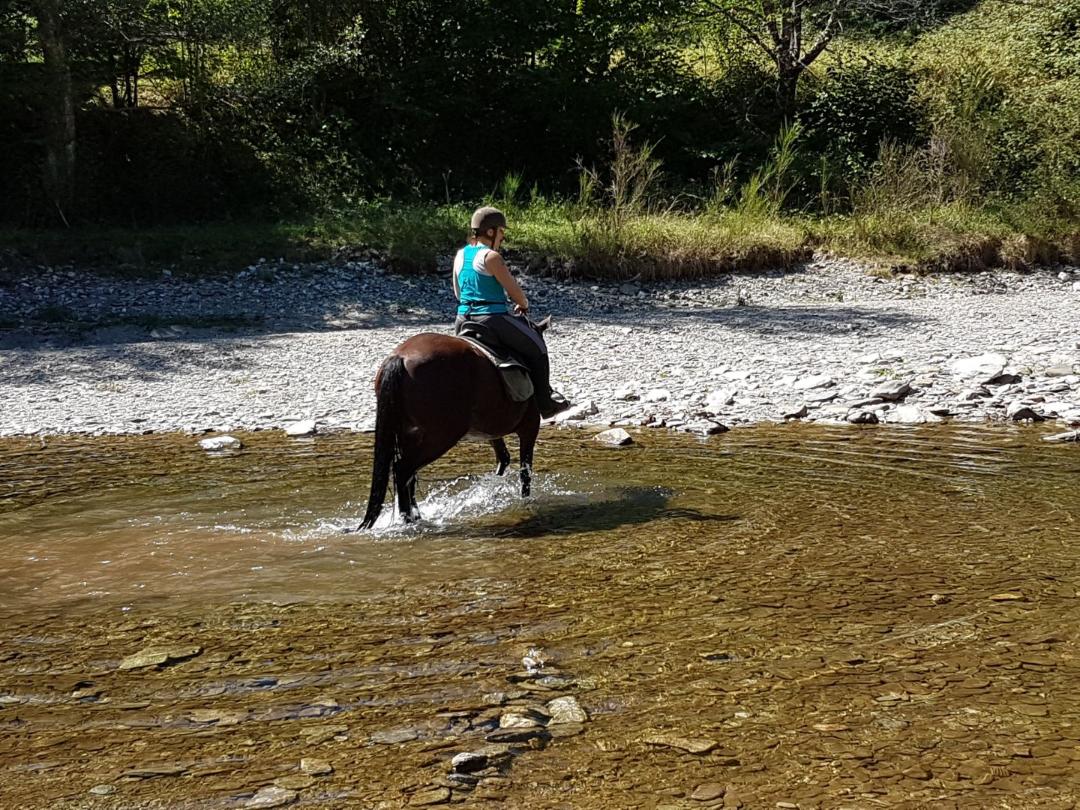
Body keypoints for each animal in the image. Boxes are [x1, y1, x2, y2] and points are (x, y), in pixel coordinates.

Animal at [357, 318, 551, 530]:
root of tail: (400, 357)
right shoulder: (529, 428)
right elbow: (525, 471)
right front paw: (525, 502)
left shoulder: (491, 431)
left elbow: (504, 459)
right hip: (441, 436)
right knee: (403, 469)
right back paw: (409, 520)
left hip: (410, 434)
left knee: (408, 474)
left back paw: (416, 517)